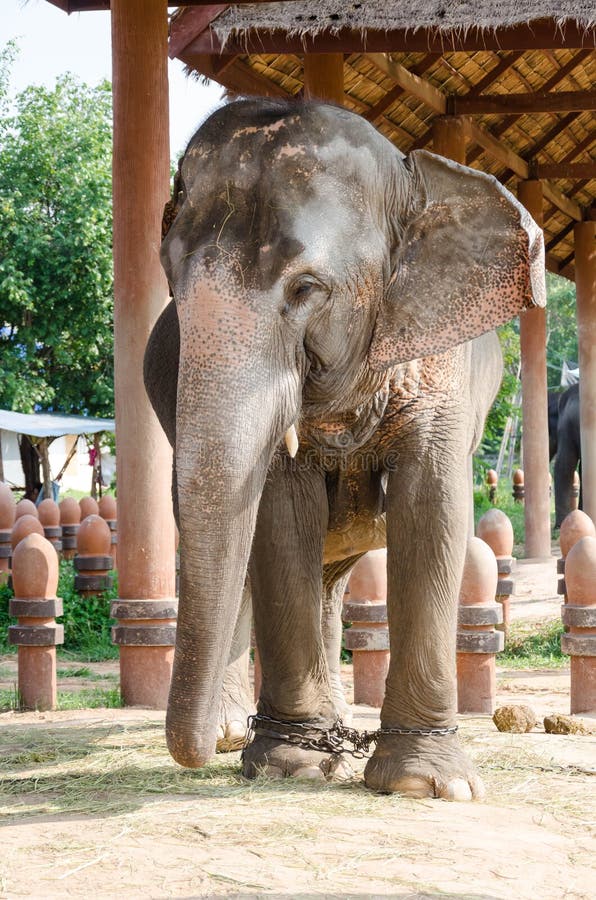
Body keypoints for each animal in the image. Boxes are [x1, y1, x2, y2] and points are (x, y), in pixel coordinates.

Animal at [144, 98, 545, 799]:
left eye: (306, 288)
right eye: (171, 280)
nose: (188, 757)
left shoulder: (437, 366)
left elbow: (434, 512)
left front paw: (425, 785)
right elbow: (278, 517)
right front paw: (290, 764)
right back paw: (253, 734)